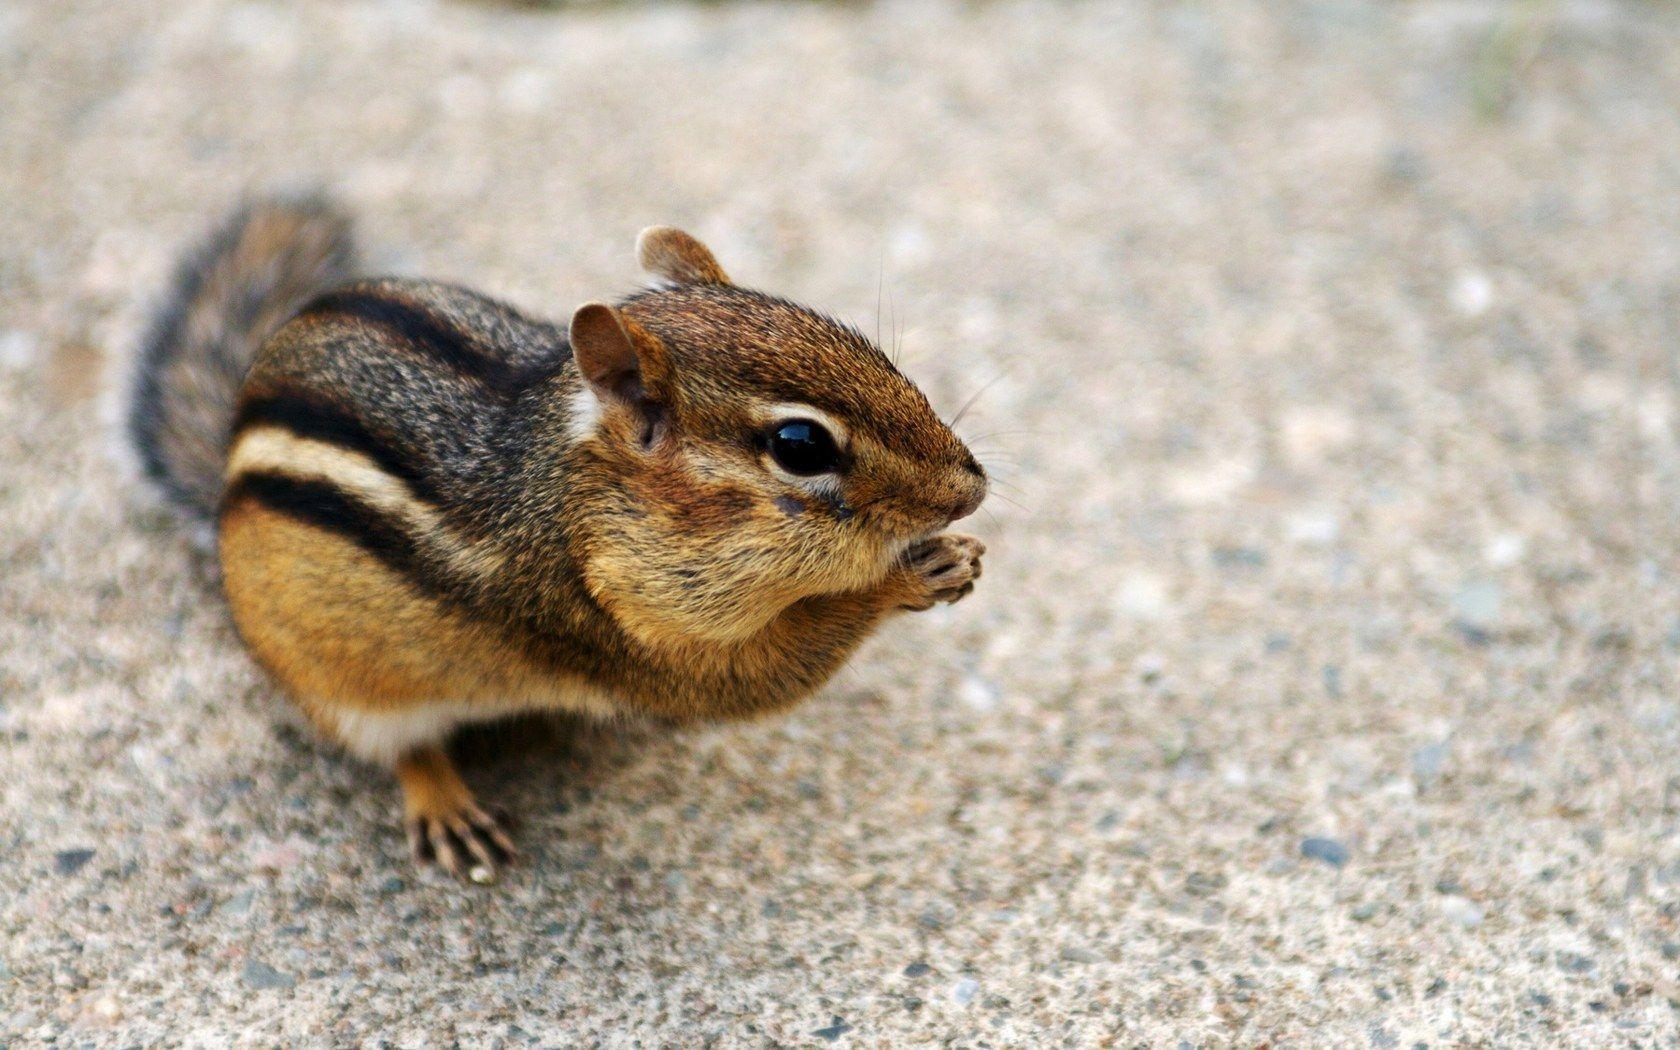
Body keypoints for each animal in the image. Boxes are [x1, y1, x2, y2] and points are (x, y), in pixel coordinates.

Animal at [129, 197, 988, 881]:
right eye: (801, 446)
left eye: (872, 354)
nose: (971, 488)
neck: (577, 497)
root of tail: (224, 476)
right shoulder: (611, 627)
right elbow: (763, 677)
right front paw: (908, 578)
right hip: (339, 684)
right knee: (400, 747)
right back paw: (445, 803)